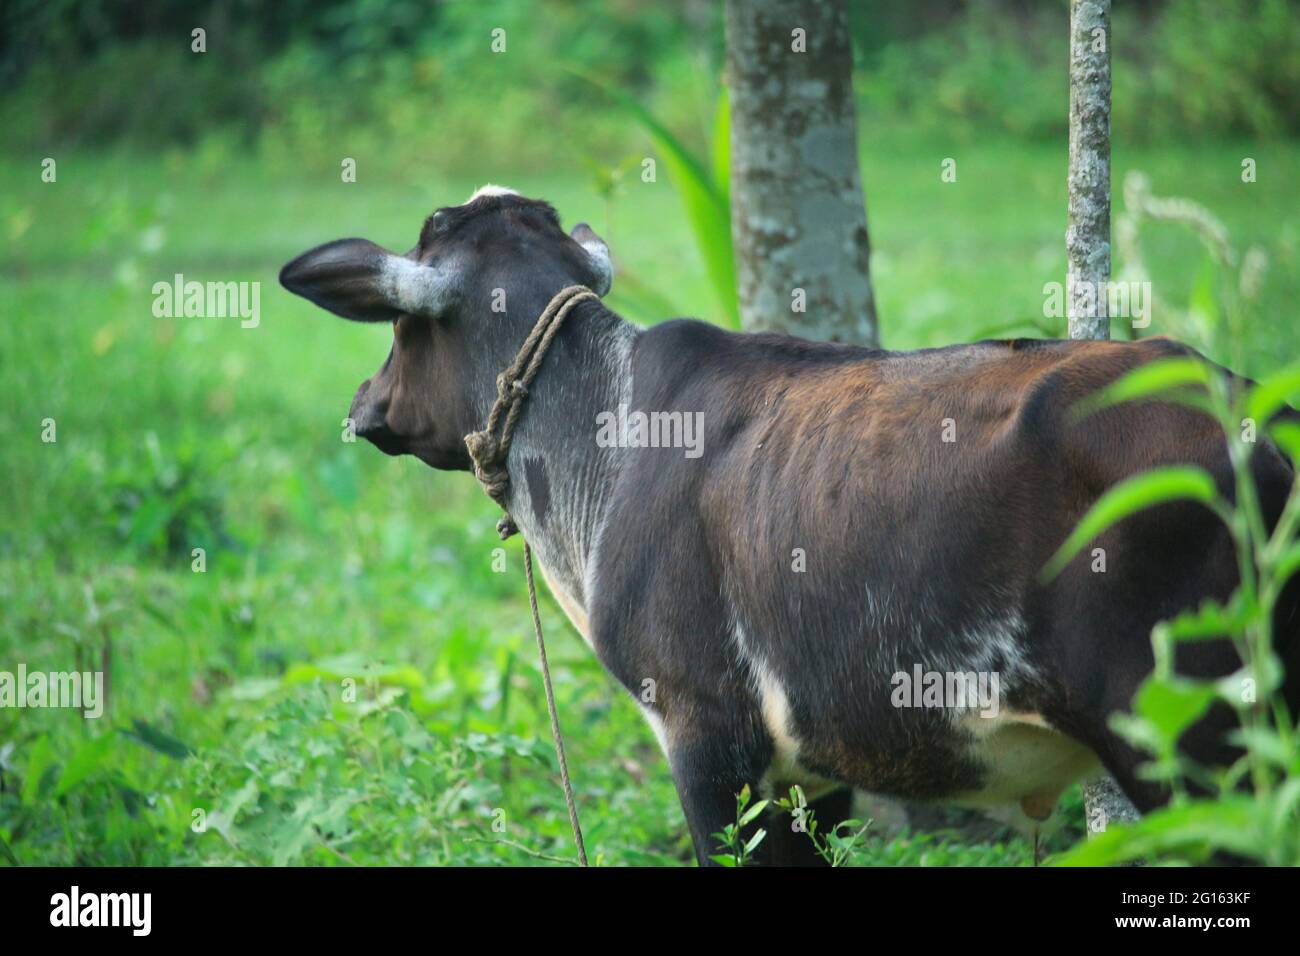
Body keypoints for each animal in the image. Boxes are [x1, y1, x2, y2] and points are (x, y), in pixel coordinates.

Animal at [281, 186, 1299, 866]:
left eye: (401, 329)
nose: (364, 401)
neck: (601, 437)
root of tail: (1252, 411)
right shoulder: (818, 764)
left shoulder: (705, 733)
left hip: (1195, 740)